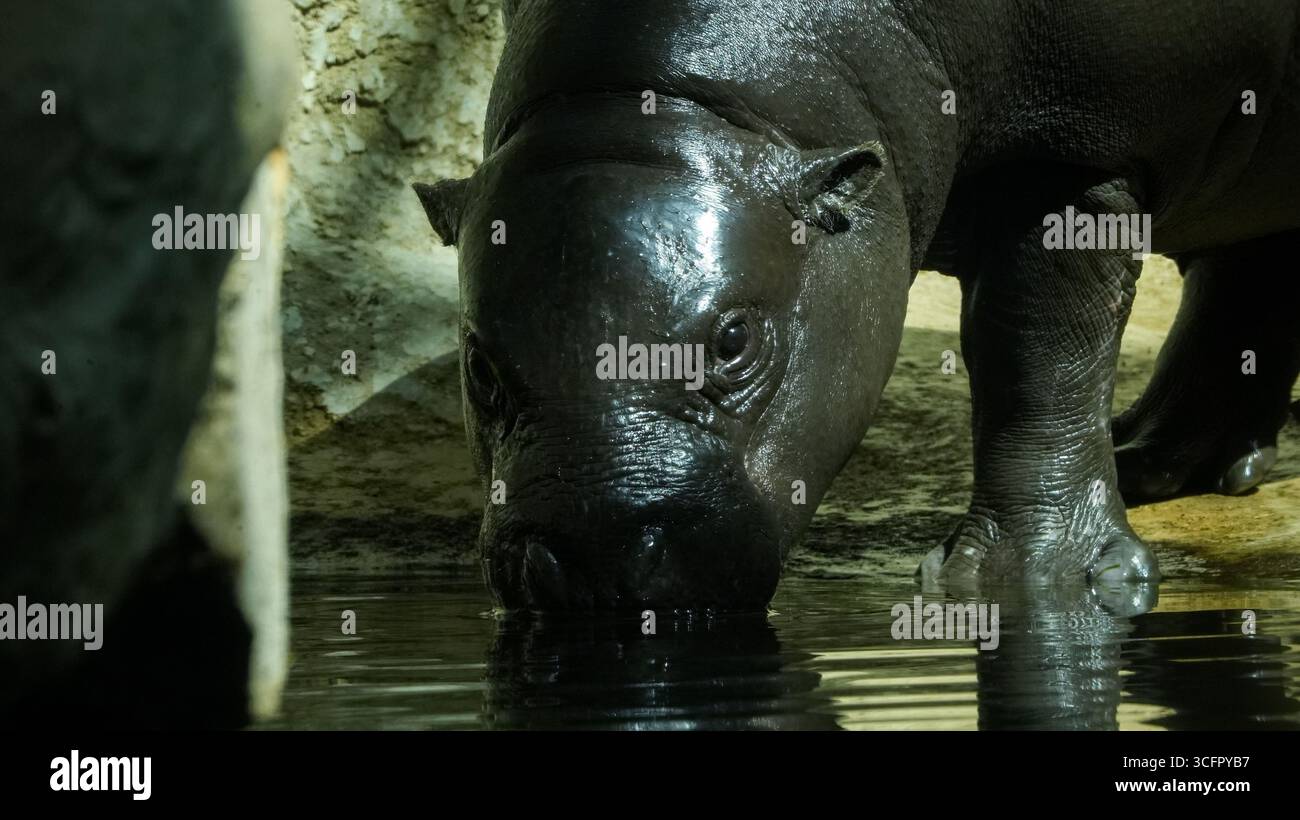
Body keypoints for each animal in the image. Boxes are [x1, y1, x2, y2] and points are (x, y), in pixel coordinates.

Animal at [415, 0, 1300, 611]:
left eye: (734, 341)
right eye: (478, 368)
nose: (593, 559)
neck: (664, 103)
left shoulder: (1076, 158)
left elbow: (1035, 357)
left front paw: (1024, 583)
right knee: (1248, 275)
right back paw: (1153, 458)